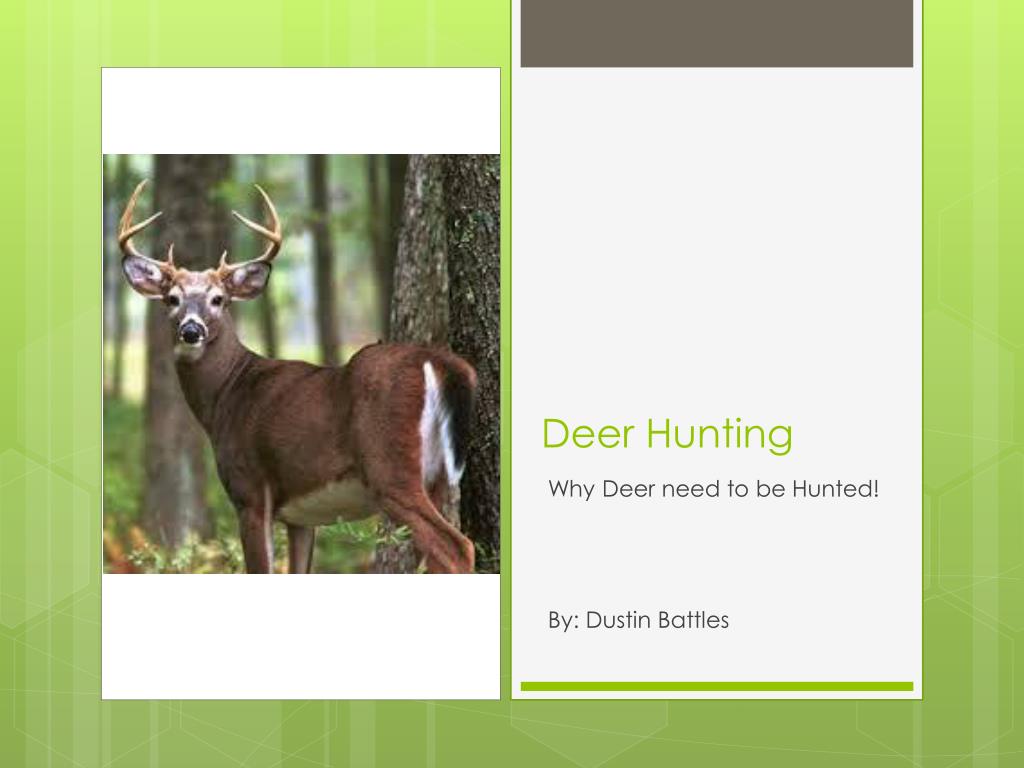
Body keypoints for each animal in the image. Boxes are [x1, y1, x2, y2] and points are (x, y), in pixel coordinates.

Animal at [117, 180, 477, 574]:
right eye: (171, 299)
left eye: (218, 299)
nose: (191, 331)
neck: (227, 395)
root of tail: (437, 360)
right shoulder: (300, 517)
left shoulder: (250, 489)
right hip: (438, 477)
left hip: (391, 468)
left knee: (456, 547)